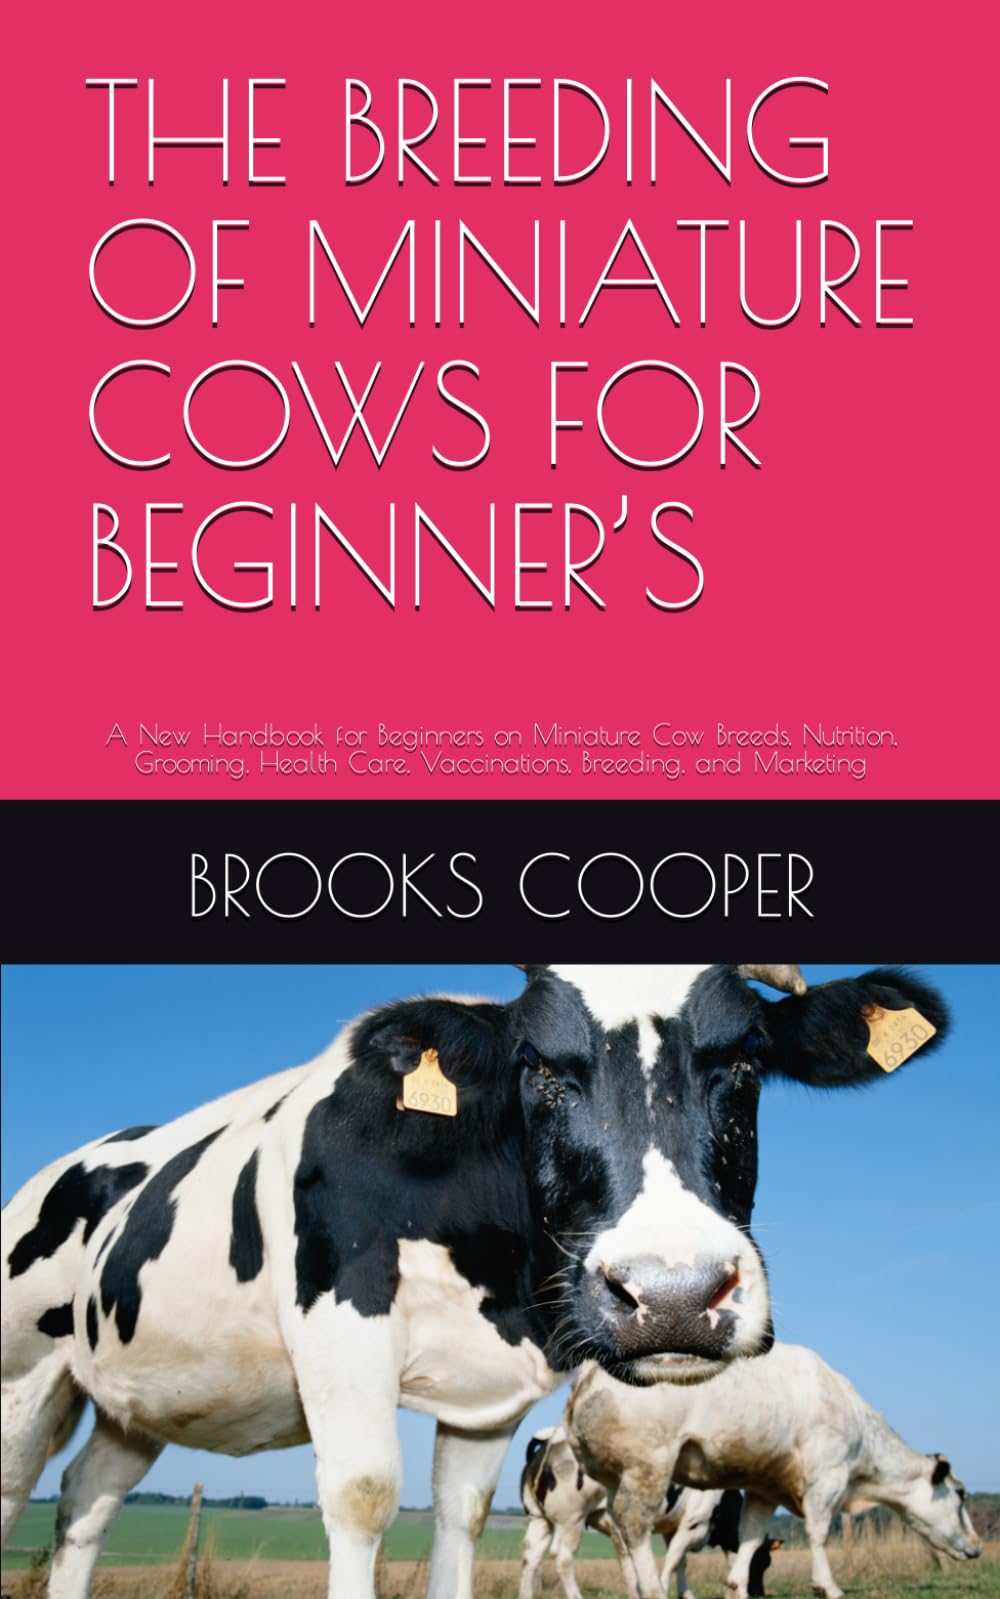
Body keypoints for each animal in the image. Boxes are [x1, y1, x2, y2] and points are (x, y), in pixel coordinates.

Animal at [518, 1426, 774, 1599]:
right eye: (763, 1561)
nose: (759, 1593)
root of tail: (550, 1440)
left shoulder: (673, 1527)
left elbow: (681, 1562)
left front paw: (685, 1593)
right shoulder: (693, 1524)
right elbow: (672, 1560)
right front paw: (664, 1589)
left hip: (539, 1519)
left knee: (530, 1558)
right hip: (572, 1520)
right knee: (563, 1558)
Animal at [566, 1343, 983, 1599]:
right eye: (961, 1494)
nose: (978, 1546)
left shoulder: (763, 1489)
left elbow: (750, 1540)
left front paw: (737, 1587)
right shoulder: (826, 1475)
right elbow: (818, 1532)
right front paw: (827, 1585)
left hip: (614, 1476)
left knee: (621, 1531)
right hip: (650, 1463)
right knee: (635, 1524)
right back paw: (653, 1591)